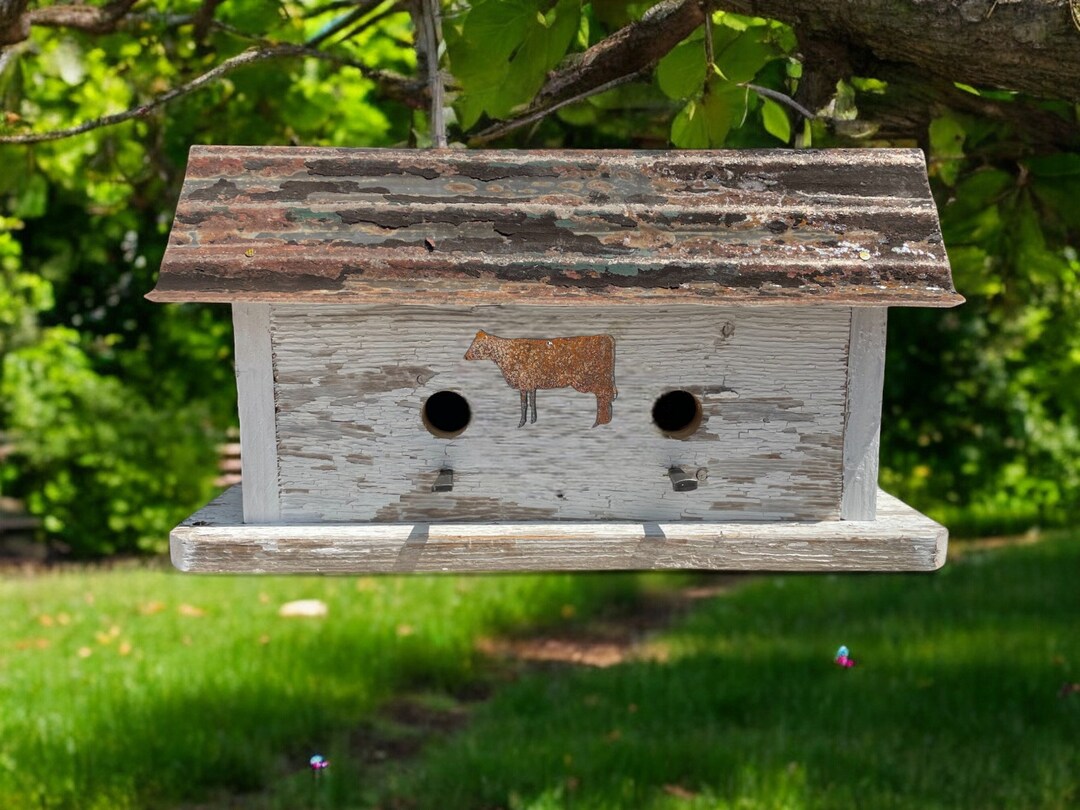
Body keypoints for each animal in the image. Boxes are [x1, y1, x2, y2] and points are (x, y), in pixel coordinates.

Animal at [464, 331, 617, 428]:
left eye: (477, 345)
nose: (465, 356)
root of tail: (606, 337)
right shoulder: (531, 385)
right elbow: (532, 403)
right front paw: (532, 421)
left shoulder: (524, 383)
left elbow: (524, 404)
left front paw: (521, 424)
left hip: (592, 380)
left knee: (604, 396)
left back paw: (598, 423)